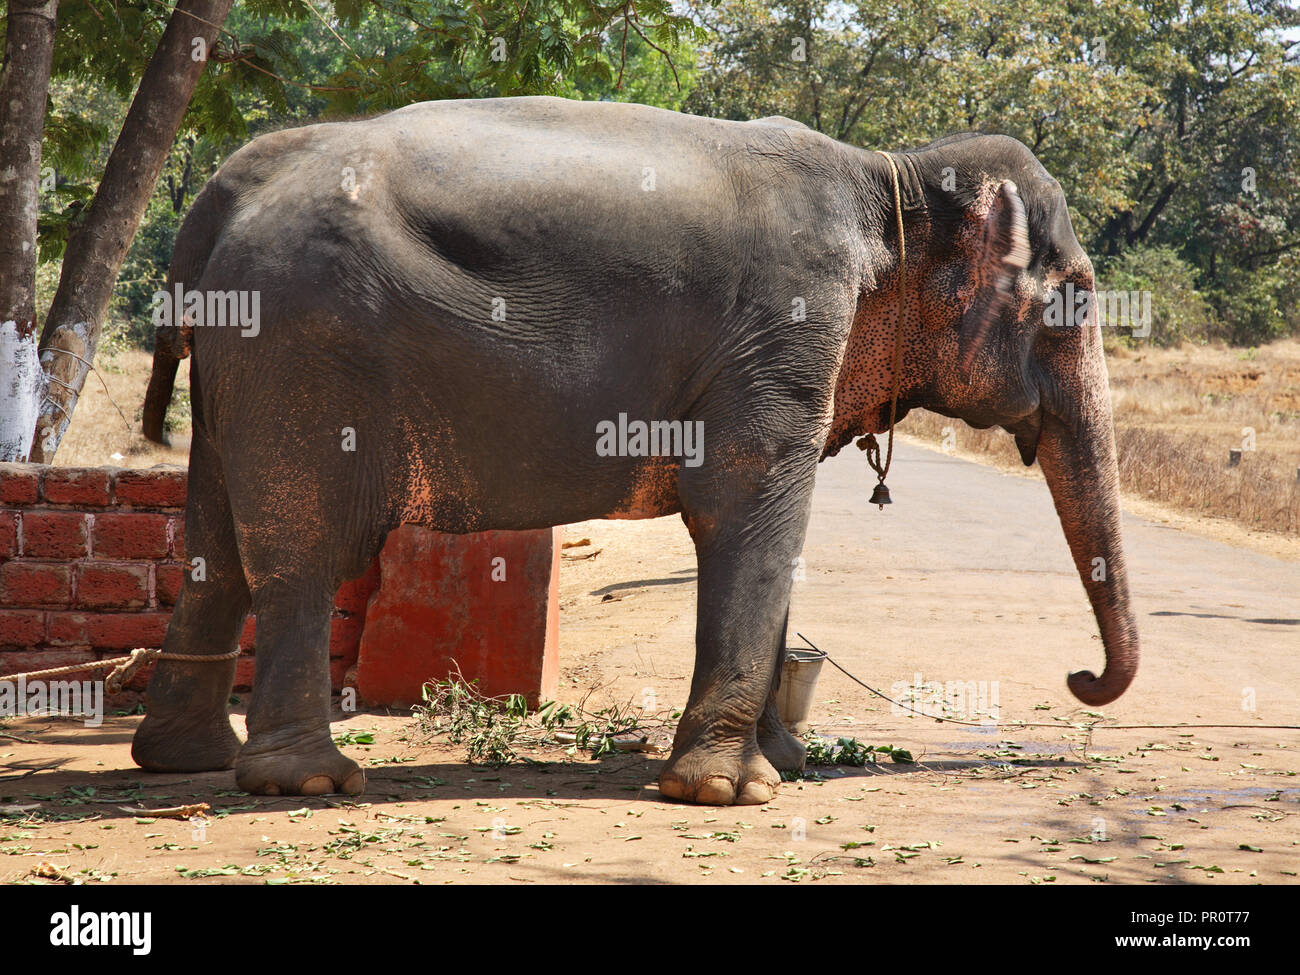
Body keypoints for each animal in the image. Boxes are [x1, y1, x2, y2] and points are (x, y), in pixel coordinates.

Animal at [134, 96, 1138, 805]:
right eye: (1078, 296)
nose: (1079, 675)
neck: (891, 178)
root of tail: (221, 200)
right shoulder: (786, 325)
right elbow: (747, 505)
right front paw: (729, 791)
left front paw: (789, 764)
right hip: (305, 351)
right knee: (298, 555)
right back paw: (308, 779)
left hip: (244, 366)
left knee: (215, 551)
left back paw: (185, 760)